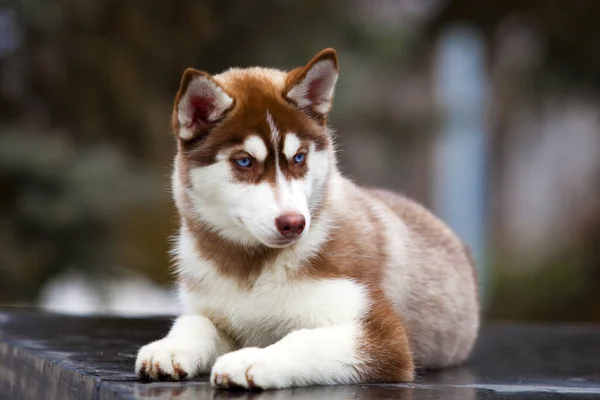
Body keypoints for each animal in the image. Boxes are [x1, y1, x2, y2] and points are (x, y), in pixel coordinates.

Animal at [135, 48, 478, 390]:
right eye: (244, 161)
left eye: (299, 158)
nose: (294, 223)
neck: (251, 266)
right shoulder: (211, 308)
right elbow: (195, 322)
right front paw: (170, 348)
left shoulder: (383, 335)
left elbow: (303, 339)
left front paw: (251, 360)